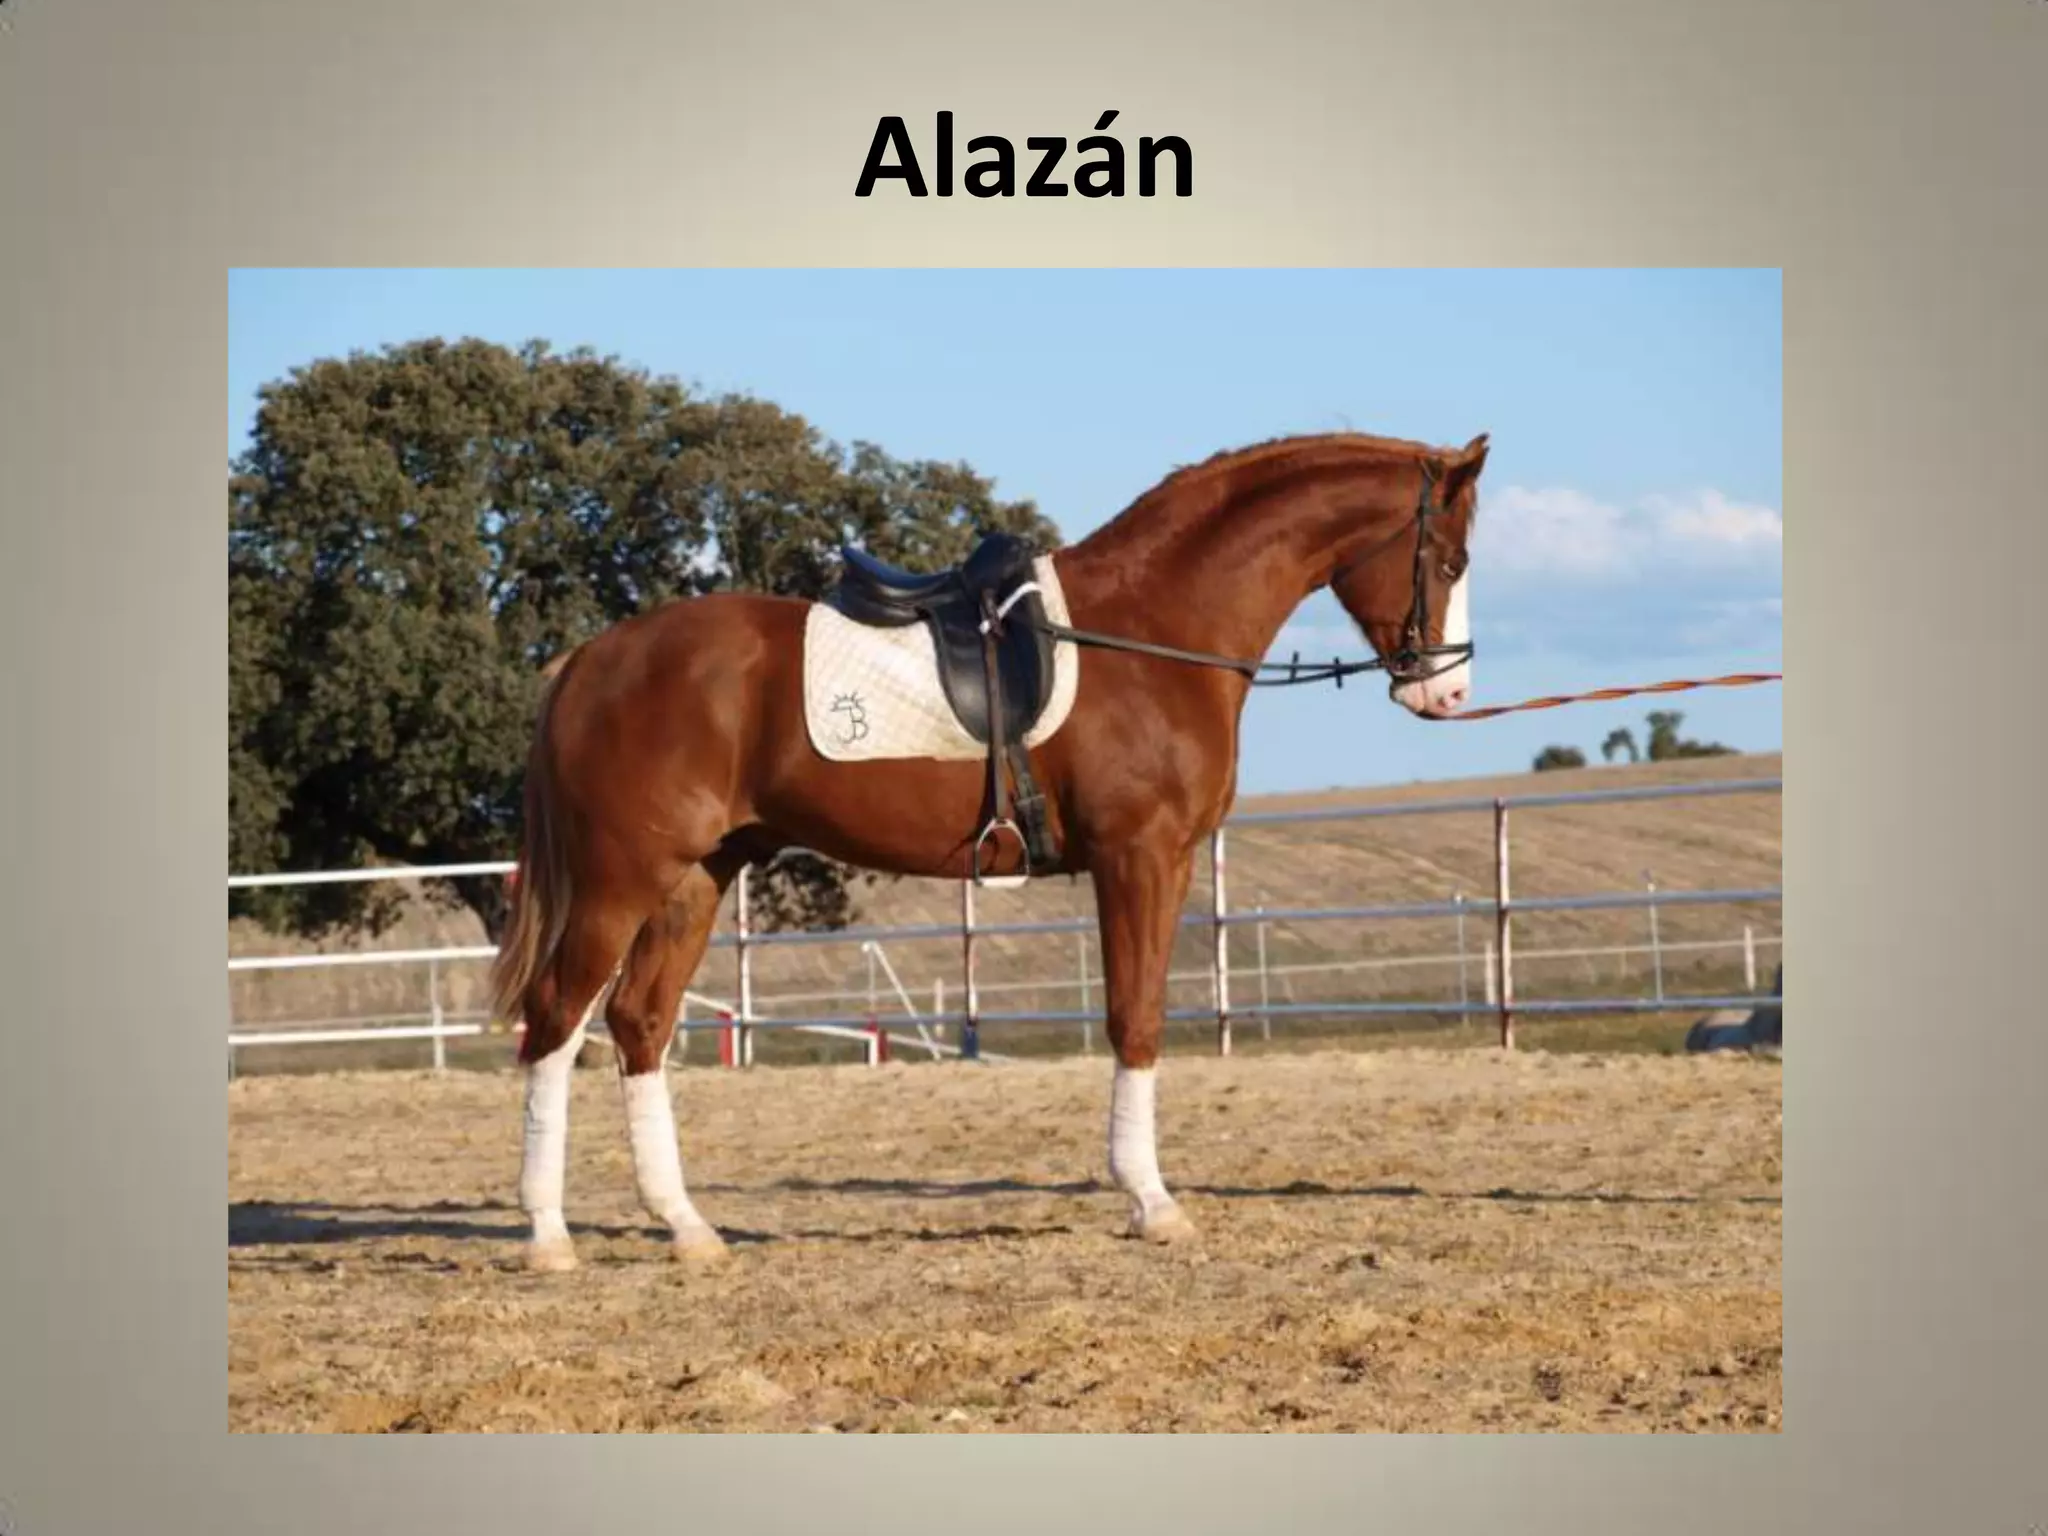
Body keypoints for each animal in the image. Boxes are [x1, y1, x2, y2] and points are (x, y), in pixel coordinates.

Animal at [489, 429, 1489, 1271]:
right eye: (1449, 559)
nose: (1446, 695)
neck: (1151, 630)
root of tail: (588, 660)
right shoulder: (1140, 859)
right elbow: (1136, 1020)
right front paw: (1152, 1203)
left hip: (697, 879)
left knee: (639, 1025)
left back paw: (687, 1228)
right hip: (621, 880)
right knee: (555, 1021)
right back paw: (548, 1236)